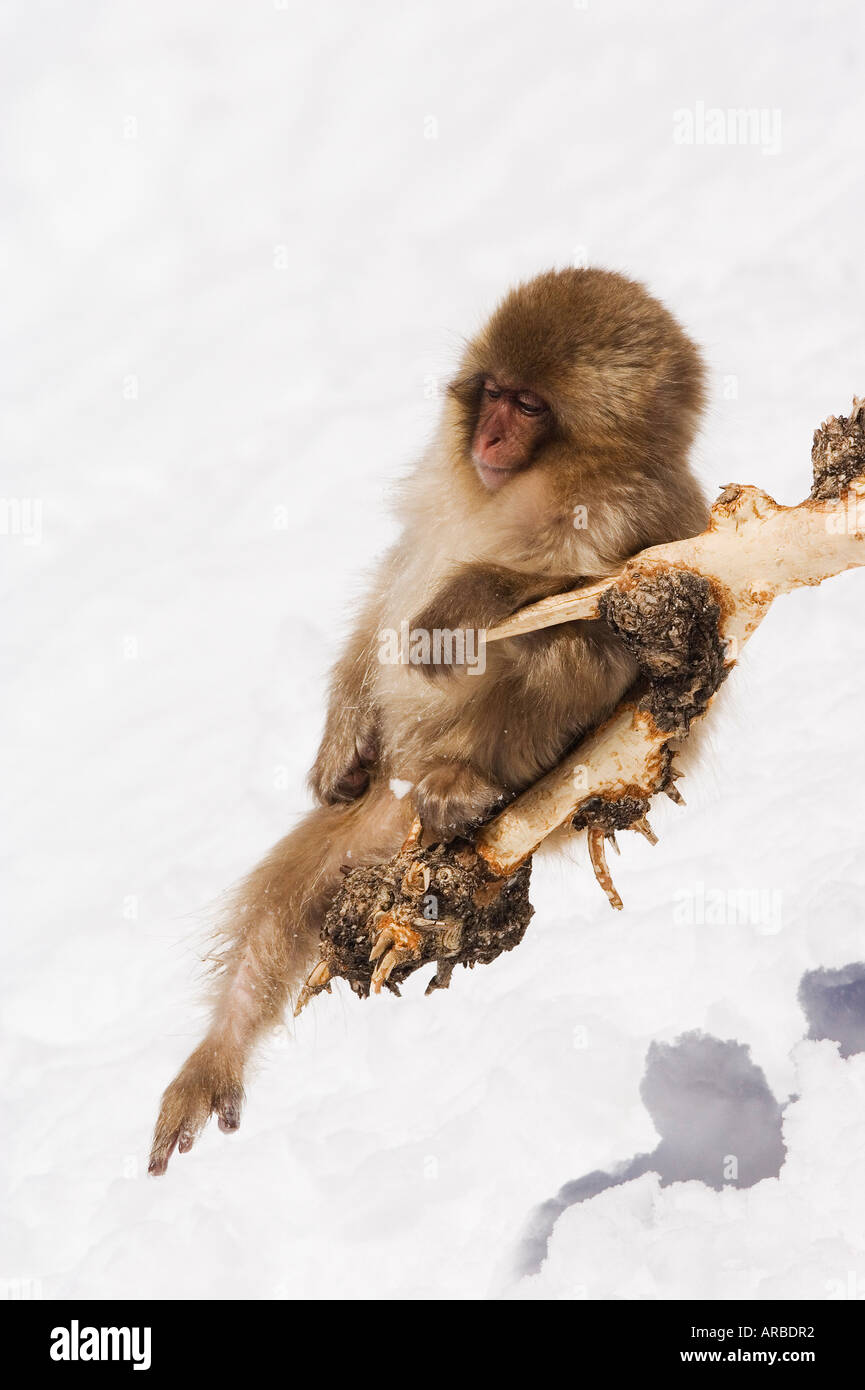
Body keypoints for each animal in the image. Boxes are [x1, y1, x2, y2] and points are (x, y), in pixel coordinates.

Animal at [149, 267, 708, 1174]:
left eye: (530, 405)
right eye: (493, 392)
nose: (489, 432)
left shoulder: (635, 510)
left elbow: (619, 608)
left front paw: (471, 596)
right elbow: (395, 579)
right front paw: (339, 732)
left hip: (574, 786)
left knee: (569, 644)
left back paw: (471, 780)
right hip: (378, 815)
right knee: (290, 894)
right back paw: (215, 1054)